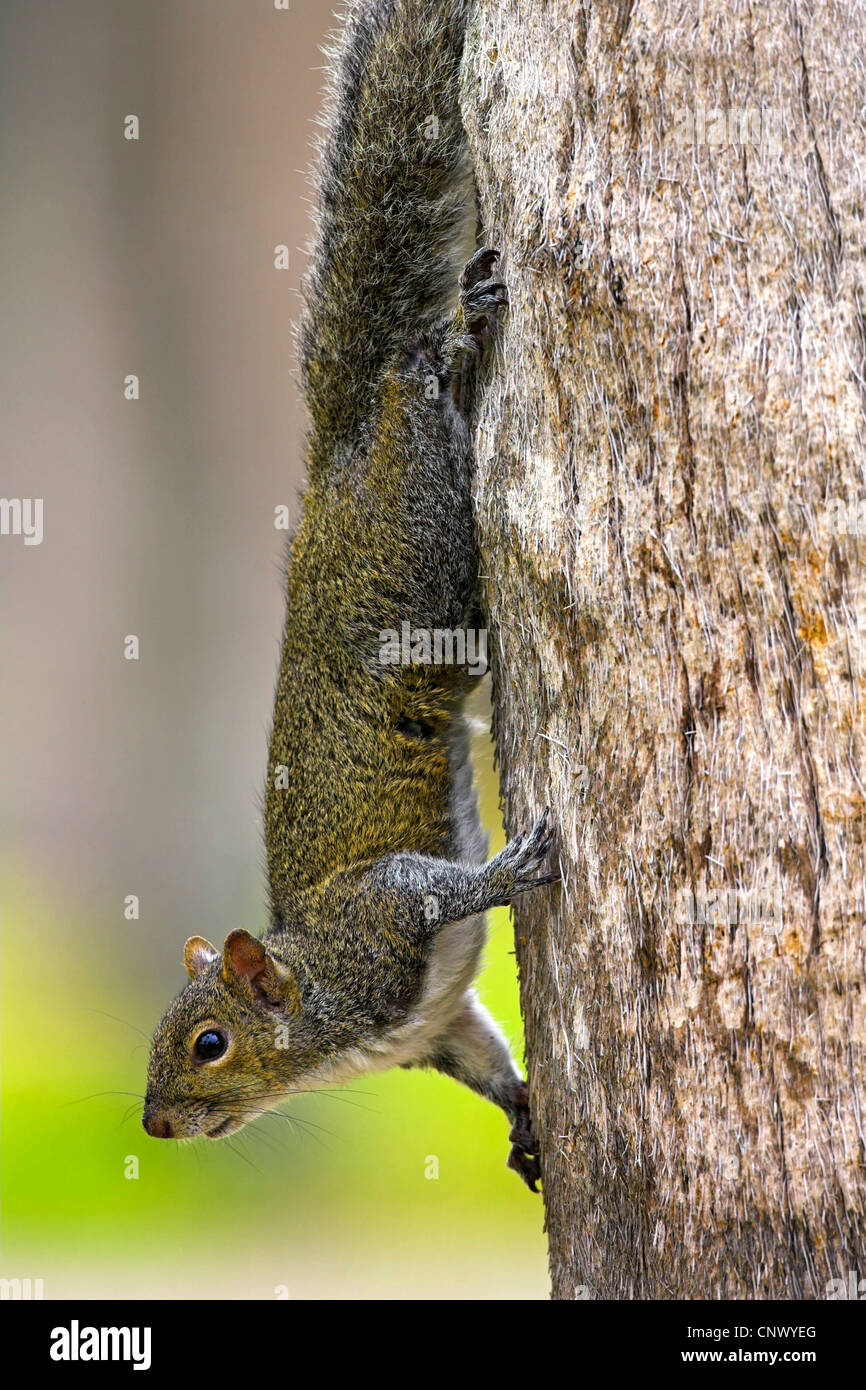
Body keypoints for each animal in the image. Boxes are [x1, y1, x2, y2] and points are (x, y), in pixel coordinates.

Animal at [143, 0, 558, 1190]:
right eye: (160, 1041)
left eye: (209, 1043)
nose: (152, 1124)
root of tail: (337, 453)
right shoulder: (439, 1029)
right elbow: (485, 1056)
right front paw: (523, 1119)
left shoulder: (375, 920)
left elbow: (436, 887)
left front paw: (512, 867)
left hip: (428, 530)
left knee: (419, 379)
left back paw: (459, 334)